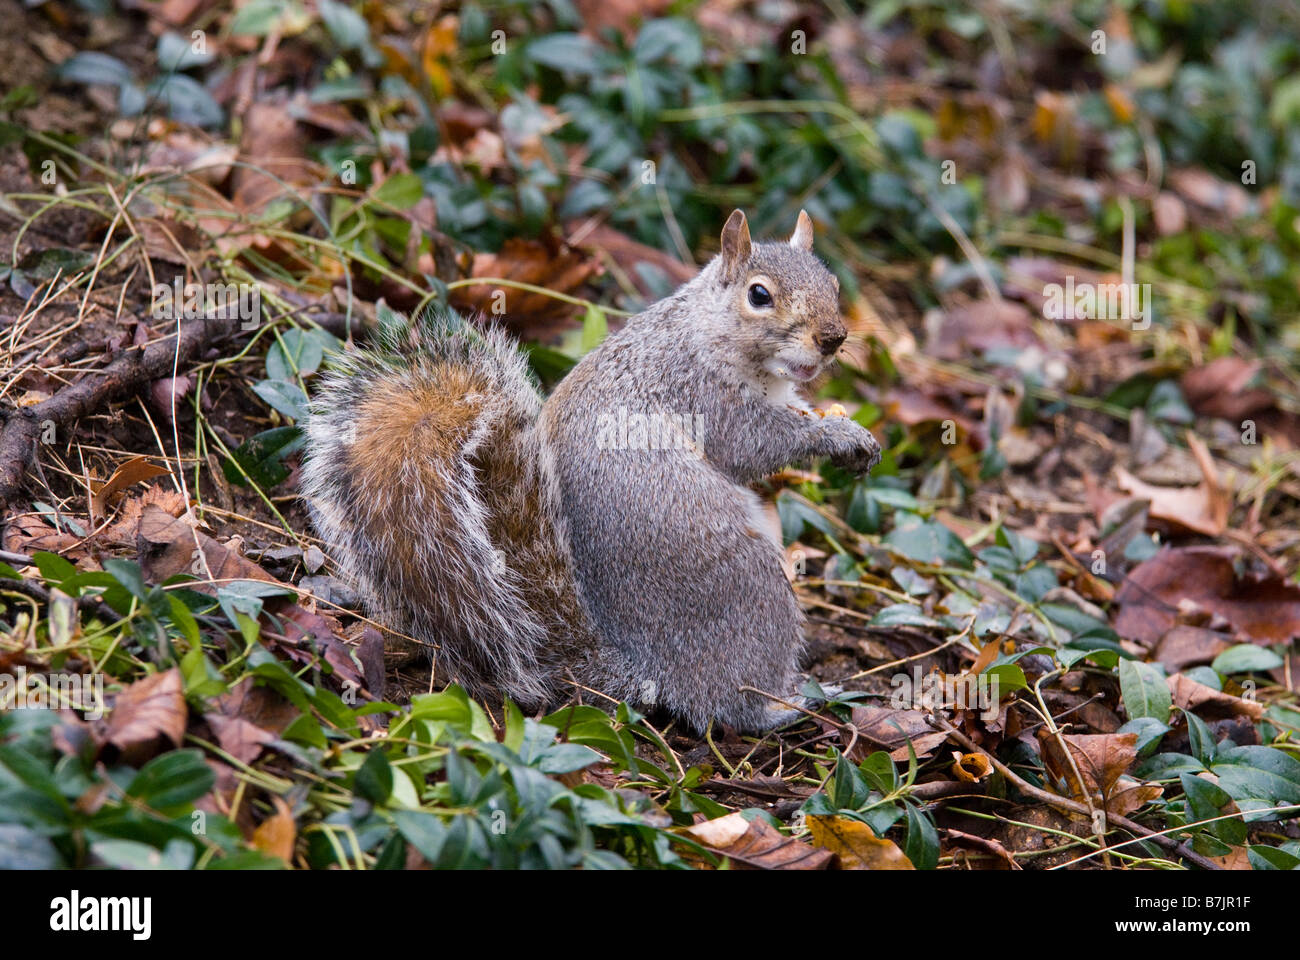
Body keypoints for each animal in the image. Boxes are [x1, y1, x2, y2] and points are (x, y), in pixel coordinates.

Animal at [301, 210, 881, 732]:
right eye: (759, 295)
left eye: (832, 282)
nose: (833, 337)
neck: (705, 329)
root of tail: (640, 669)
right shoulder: (704, 396)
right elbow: (757, 443)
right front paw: (835, 437)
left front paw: (850, 431)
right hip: (746, 587)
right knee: (727, 705)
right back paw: (789, 705)